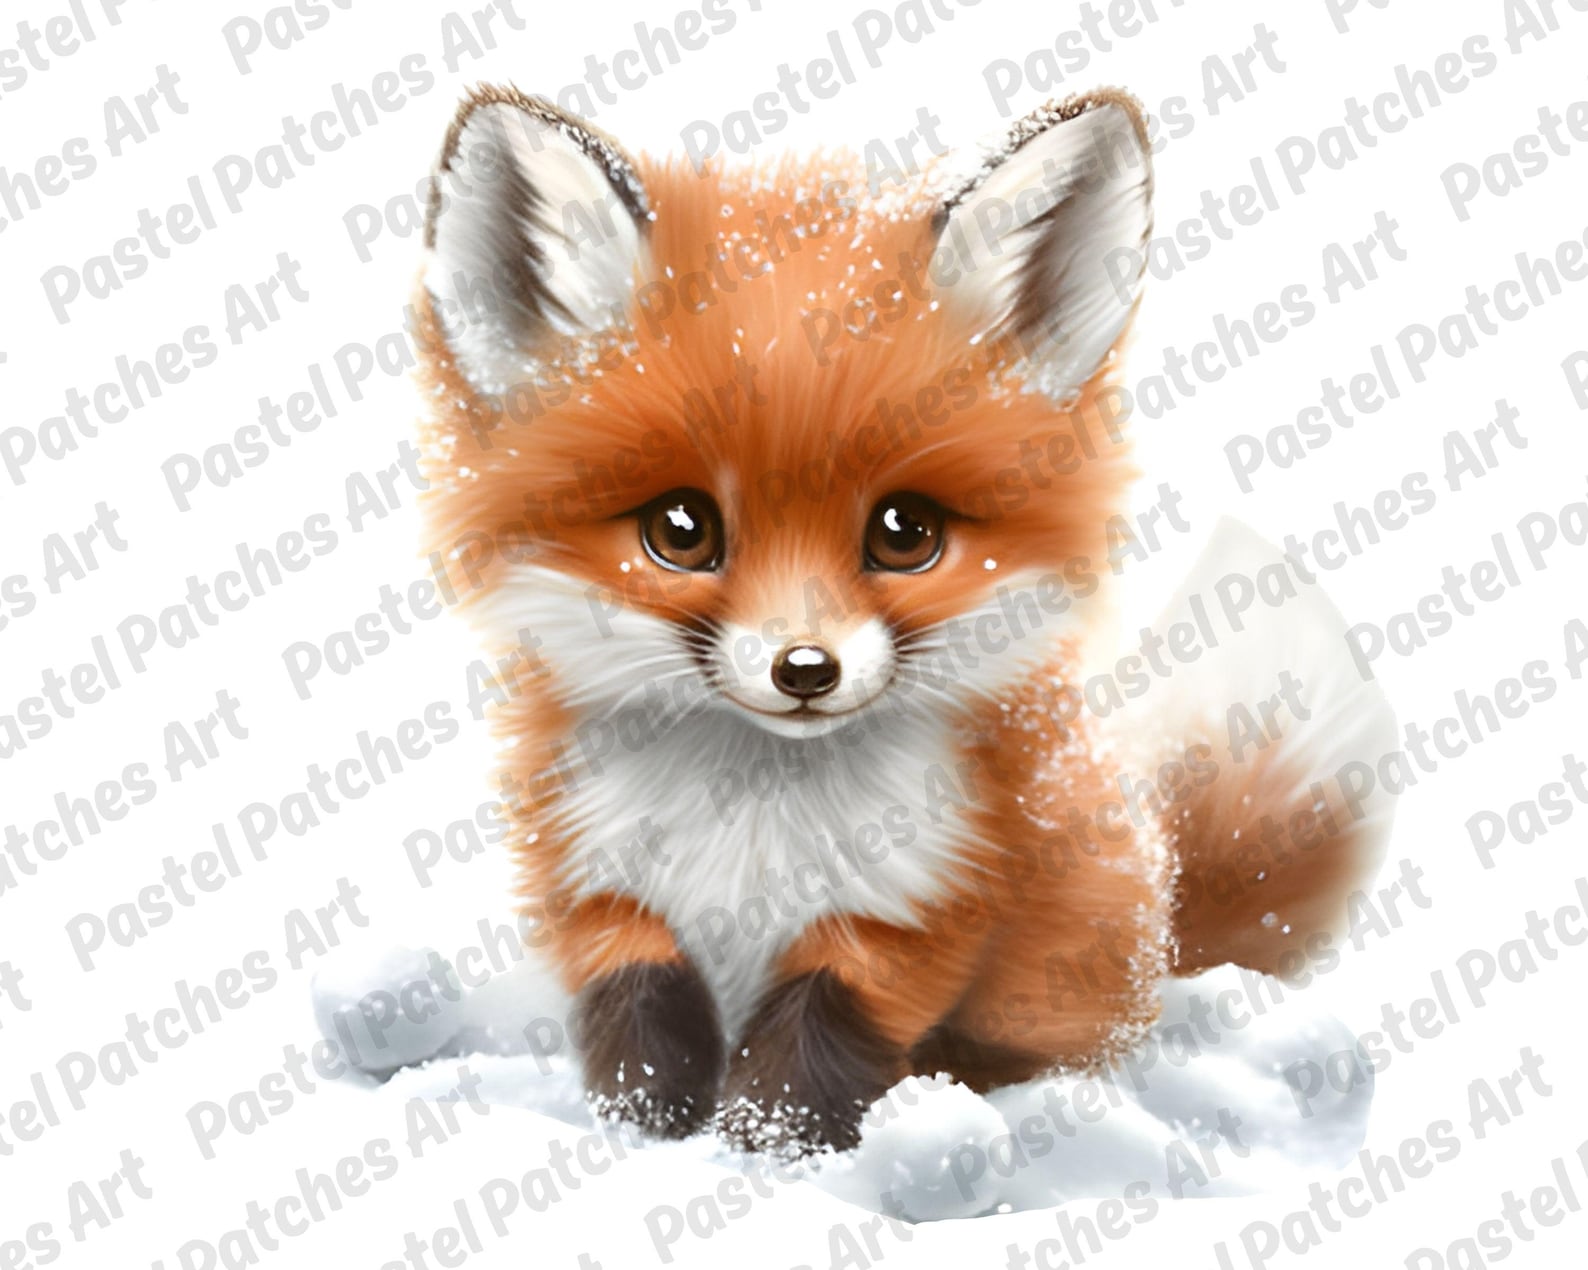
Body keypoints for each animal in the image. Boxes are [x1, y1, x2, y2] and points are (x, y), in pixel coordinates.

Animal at [411, 84, 1398, 1156]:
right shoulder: (597, 886)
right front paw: (644, 1141)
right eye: (680, 530)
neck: (754, 821)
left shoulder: (917, 907)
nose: (805, 669)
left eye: (904, 532)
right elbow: (641, 1027)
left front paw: (766, 1157)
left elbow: (811, 1052)